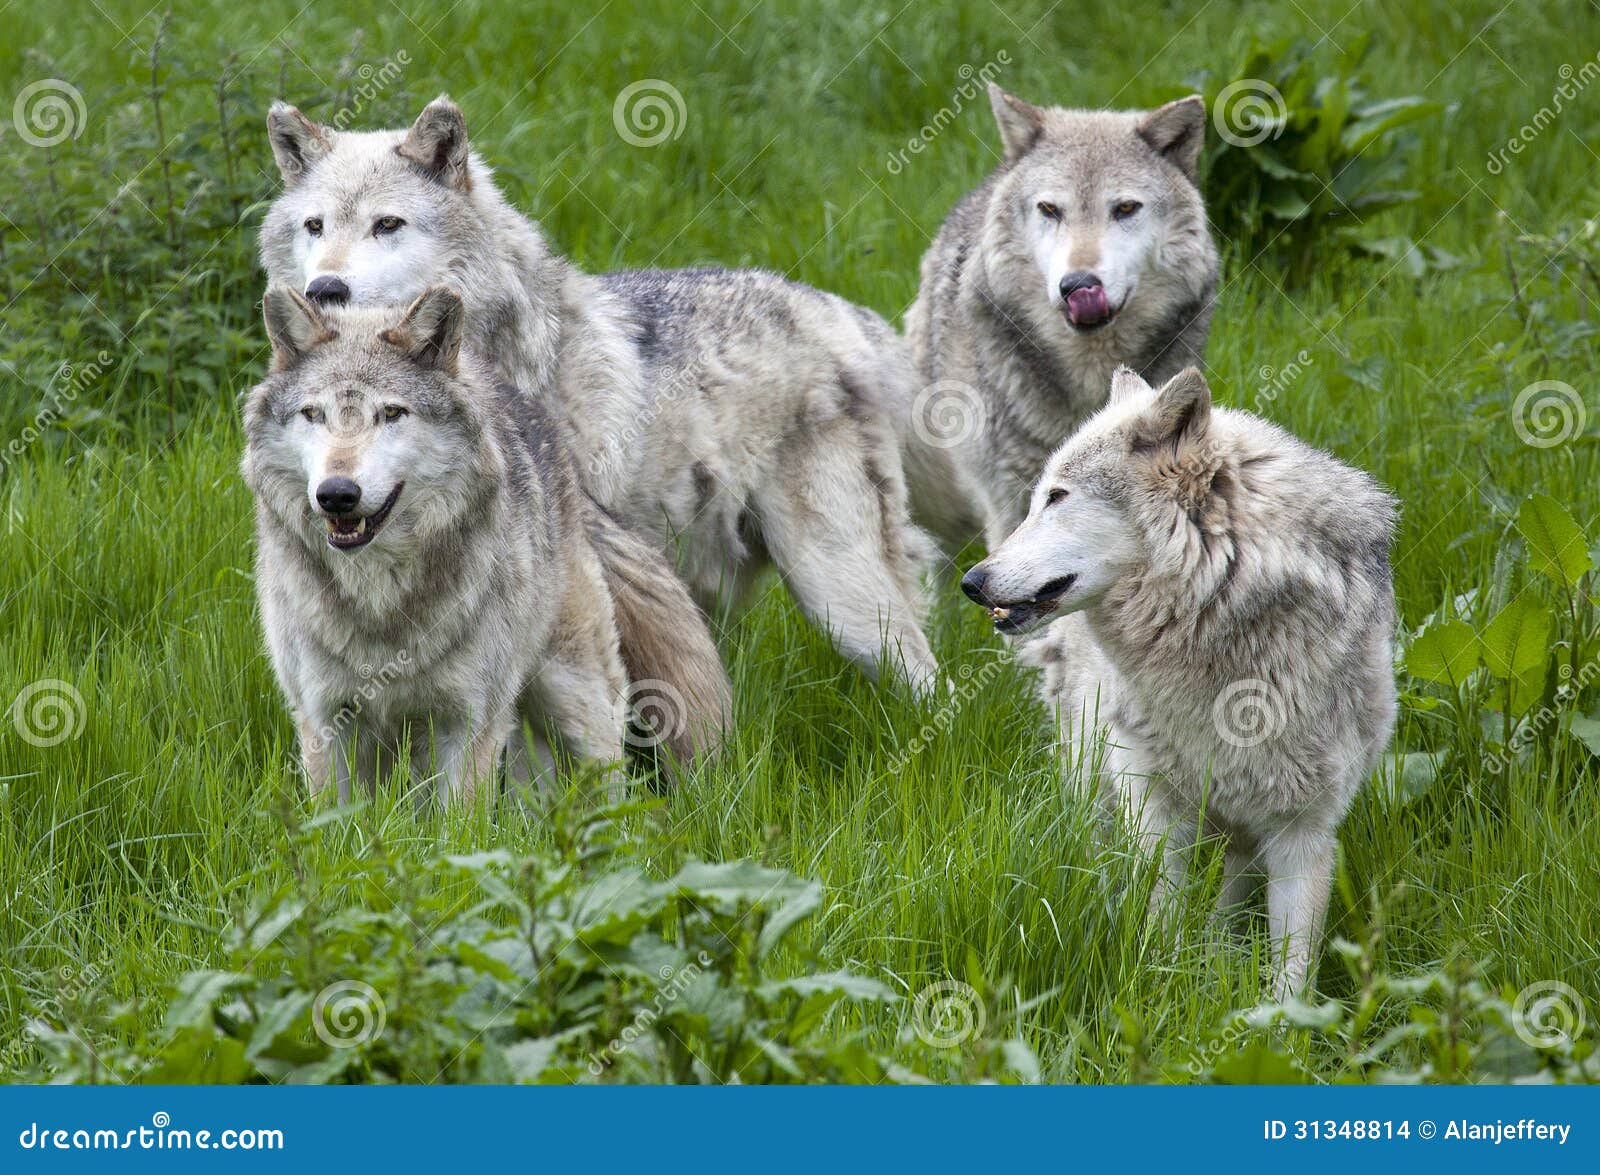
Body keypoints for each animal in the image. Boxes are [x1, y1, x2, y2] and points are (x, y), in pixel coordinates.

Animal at [242, 284, 731, 803]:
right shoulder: (326, 722)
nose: (336, 493)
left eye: (392, 413)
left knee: (609, 788)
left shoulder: (469, 723)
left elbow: (459, 823)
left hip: (577, 706)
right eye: (313, 414)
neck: (381, 599)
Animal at [260, 97, 941, 694]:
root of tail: (842, 313)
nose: (324, 290)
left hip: (841, 597)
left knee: (933, 683)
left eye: (387, 225)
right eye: (314, 226)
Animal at [960, 367, 1398, 996]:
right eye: (1039, 495)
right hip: (1091, 772)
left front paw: (1273, 1021)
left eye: (1058, 497)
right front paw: (1160, 988)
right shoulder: (1153, 807)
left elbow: (1292, 973)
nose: (972, 581)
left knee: (1230, 889)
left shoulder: (1305, 833)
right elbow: (1161, 917)